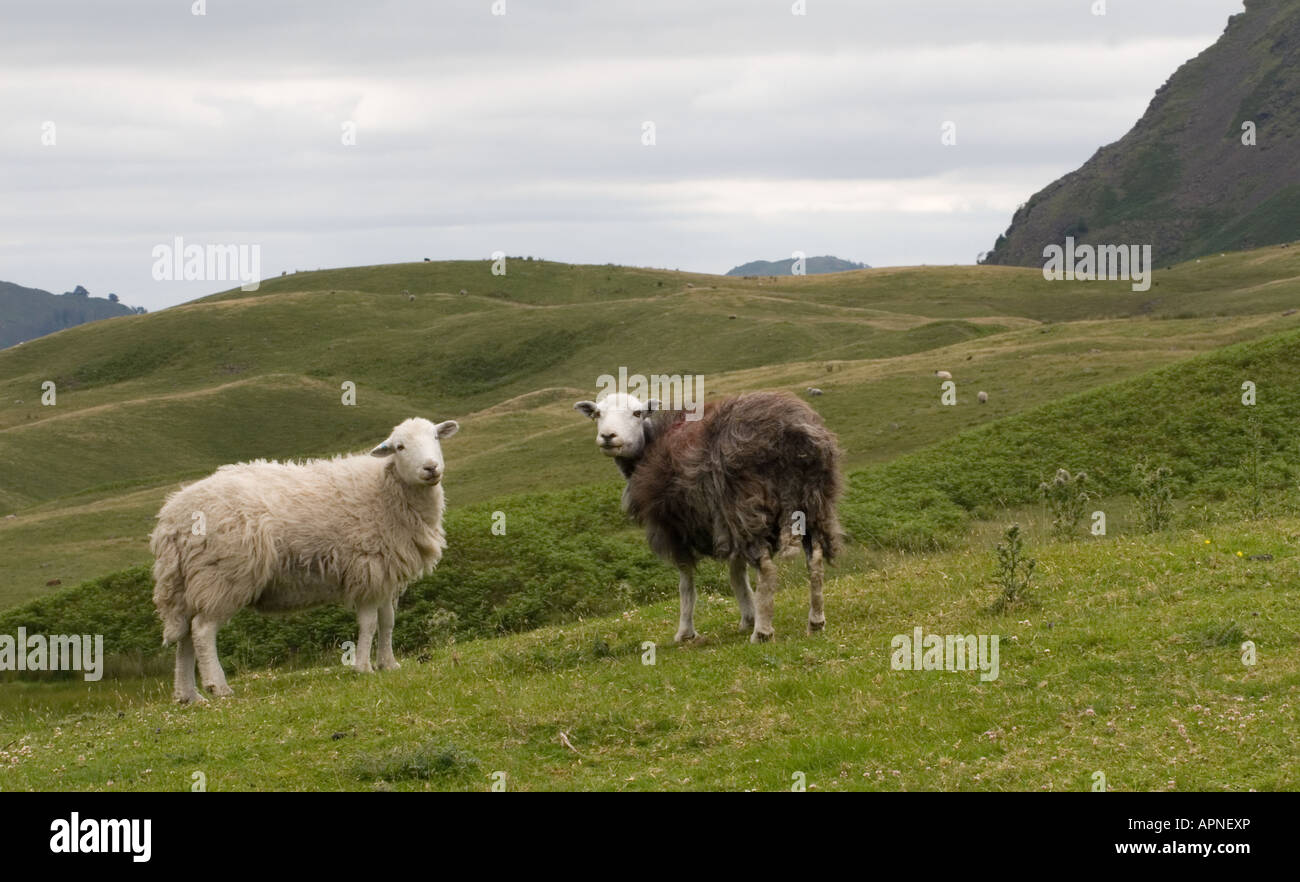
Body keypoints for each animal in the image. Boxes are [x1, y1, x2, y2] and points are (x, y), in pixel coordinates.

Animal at [150, 417, 459, 702]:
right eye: (400, 447)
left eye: (435, 436)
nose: (430, 468)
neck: (386, 488)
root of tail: (172, 516)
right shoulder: (367, 567)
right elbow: (370, 623)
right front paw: (363, 667)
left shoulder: (384, 572)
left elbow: (388, 622)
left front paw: (388, 664)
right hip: (221, 574)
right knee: (202, 630)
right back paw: (218, 686)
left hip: (188, 582)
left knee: (185, 635)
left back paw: (188, 695)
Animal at [574, 391, 842, 643]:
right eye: (597, 414)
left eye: (637, 413)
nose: (608, 436)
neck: (647, 448)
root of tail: (793, 431)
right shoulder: (723, 522)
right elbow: (737, 574)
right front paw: (748, 617)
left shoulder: (672, 528)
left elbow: (686, 583)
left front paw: (685, 632)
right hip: (812, 504)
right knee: (815, 559)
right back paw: (816, 621)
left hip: (746, 508)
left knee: (766, 568)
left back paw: (763, 633)